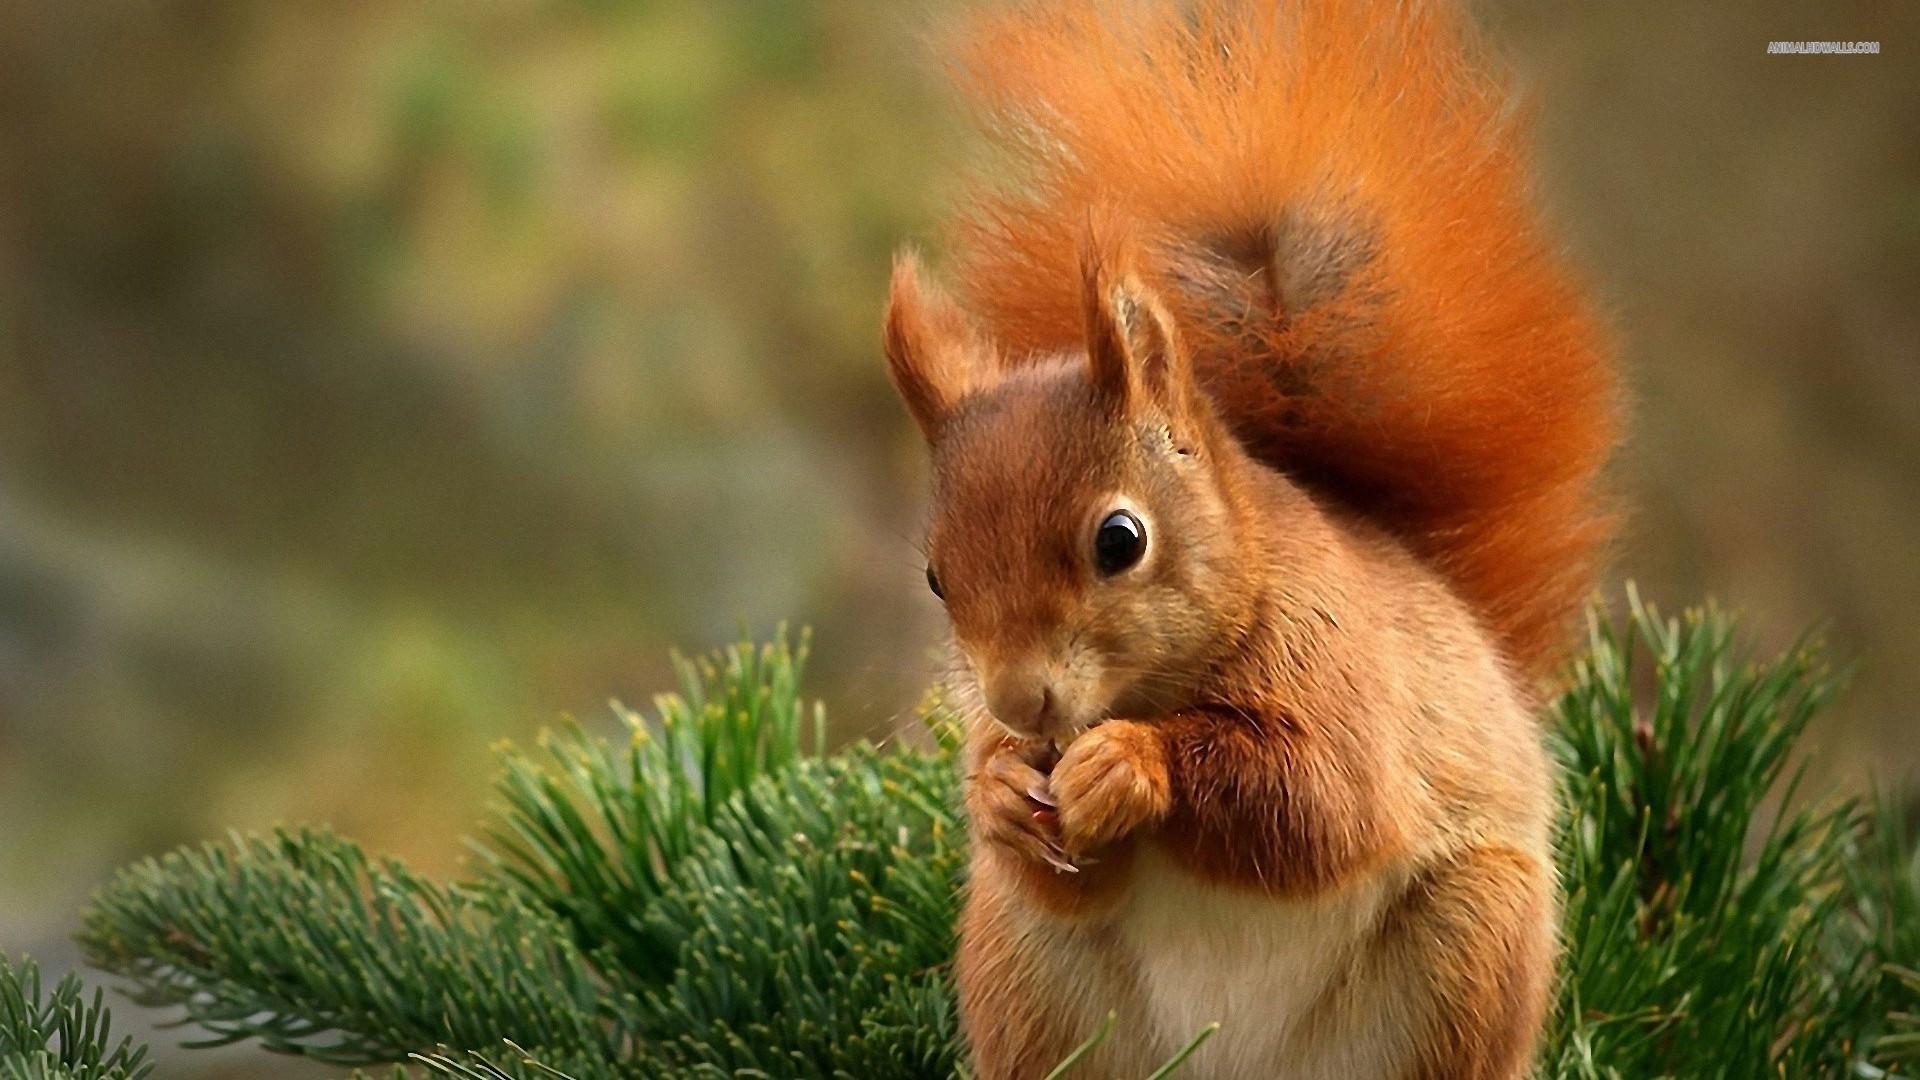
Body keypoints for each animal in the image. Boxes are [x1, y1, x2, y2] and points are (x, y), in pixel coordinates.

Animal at [881, 1, 1617, 1078]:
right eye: (936, 578)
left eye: (1120, 540)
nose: (1020, 702)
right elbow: (1061, 867)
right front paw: (1000, 791)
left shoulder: (1343, 674)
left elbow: (1320, 804)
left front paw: (1129, 765)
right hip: (1025, 970)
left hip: (1472, 945)